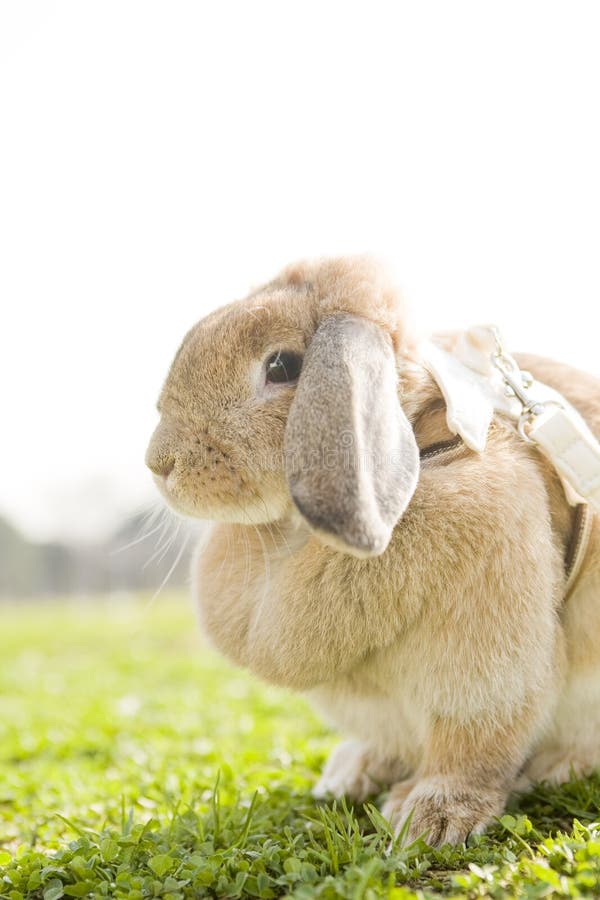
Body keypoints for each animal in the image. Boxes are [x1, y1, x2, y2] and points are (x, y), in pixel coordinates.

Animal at [146, 256, 600, 847]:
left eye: (282, 366)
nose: (159, 464)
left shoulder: (483, 660)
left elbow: (472, 744)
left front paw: (432, 819)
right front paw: (361, 777)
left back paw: (557, 767)